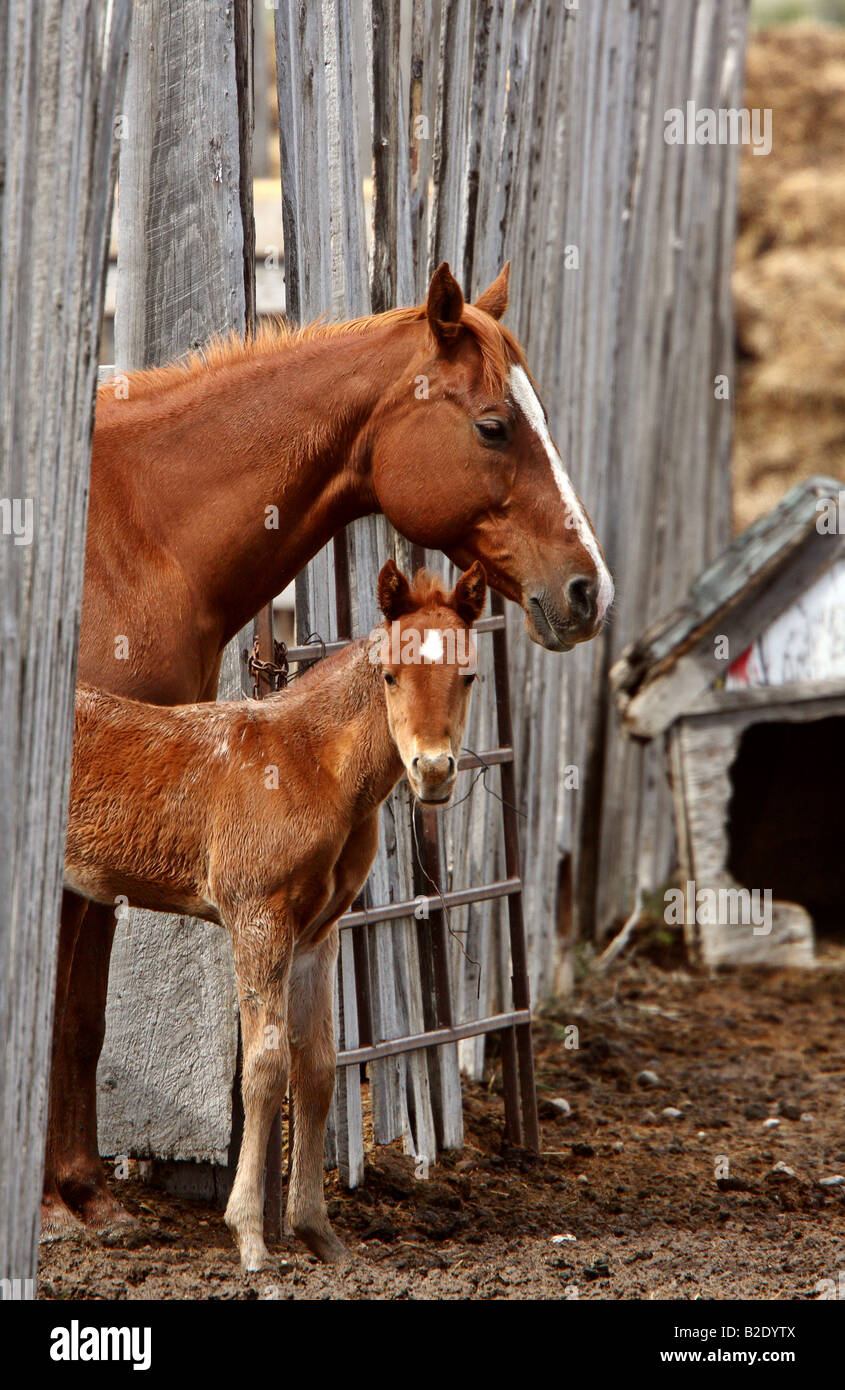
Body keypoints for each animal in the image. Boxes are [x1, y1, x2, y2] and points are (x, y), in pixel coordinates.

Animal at [64, 561, 487, 1270]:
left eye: (470, 675)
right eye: (390, 676)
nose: (432, 771)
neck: (308, 763)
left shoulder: (319, 934)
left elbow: (316, 1067)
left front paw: (321, 1235)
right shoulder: (257, 919)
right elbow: (264, 1069)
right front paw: (252, 1238)